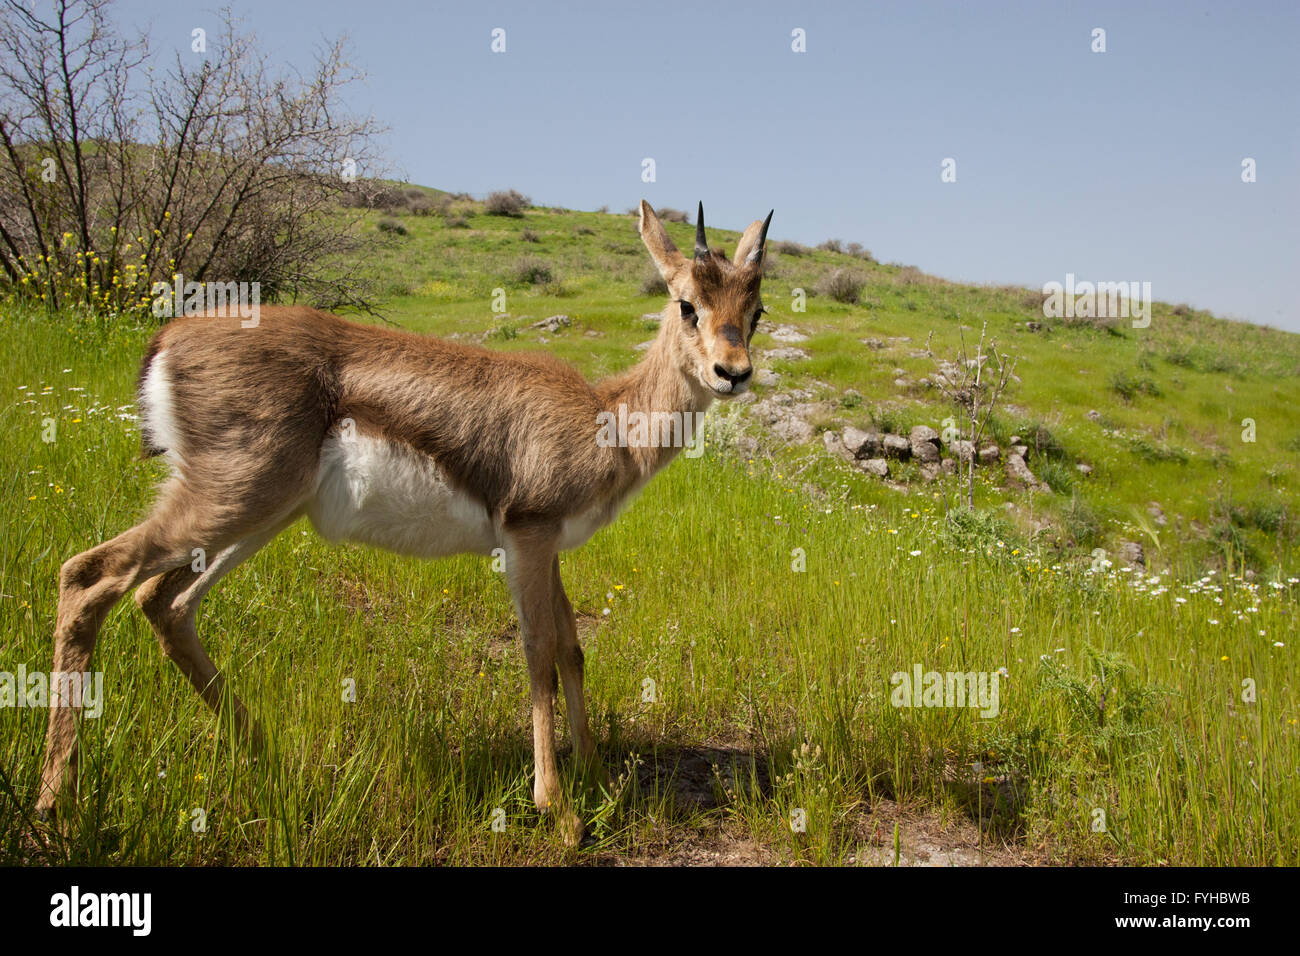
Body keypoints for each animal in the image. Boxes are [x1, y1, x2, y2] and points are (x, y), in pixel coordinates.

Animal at [36, 199, 772, 844]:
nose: (732, 373)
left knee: (164, 602)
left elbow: (572, 648)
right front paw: (560, 812)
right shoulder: (526, 537)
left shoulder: (551, 548)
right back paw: (56, 812)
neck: (607, 419)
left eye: (755, 309)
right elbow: (537, 651)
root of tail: (169, 337)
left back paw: (274, 757)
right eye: (687, 304)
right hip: (230, 502)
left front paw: (593, 771)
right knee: (88, 576)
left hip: (258, 516)